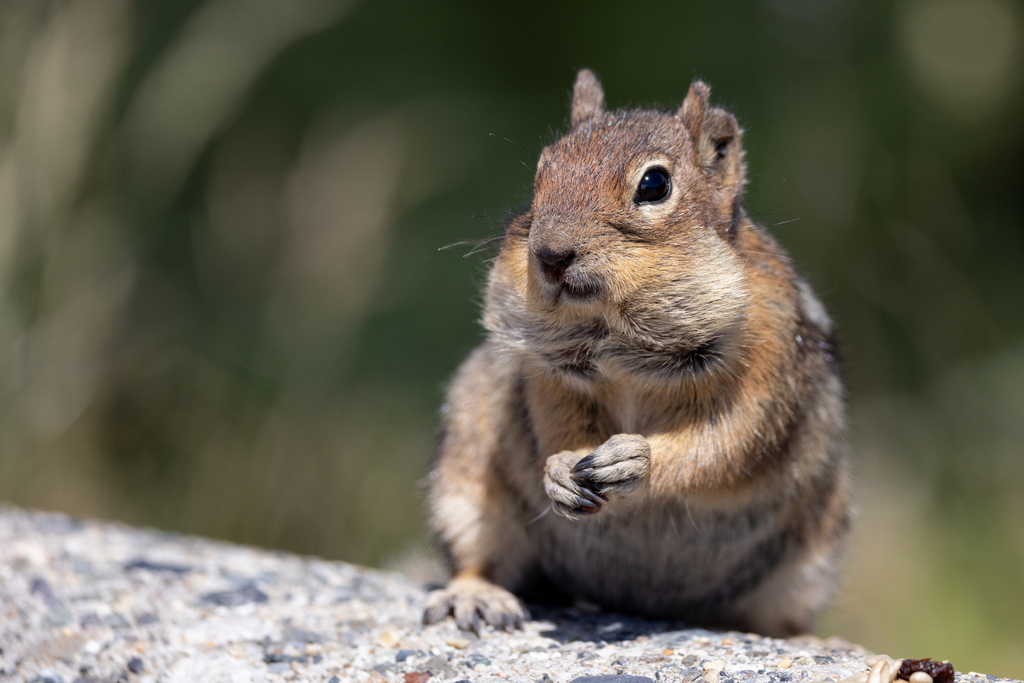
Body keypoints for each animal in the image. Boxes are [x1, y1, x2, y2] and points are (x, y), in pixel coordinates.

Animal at [423, 69, 850, 637]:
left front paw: (635, 459)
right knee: (480, 556)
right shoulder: (548, 376)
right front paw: (559, 470)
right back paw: (475, 595)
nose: (551, 255)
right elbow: (553, 427)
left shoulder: (771, 366)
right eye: (542, 169)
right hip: (465, 487)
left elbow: (728, 444)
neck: (616, 342)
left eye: (654, 185)